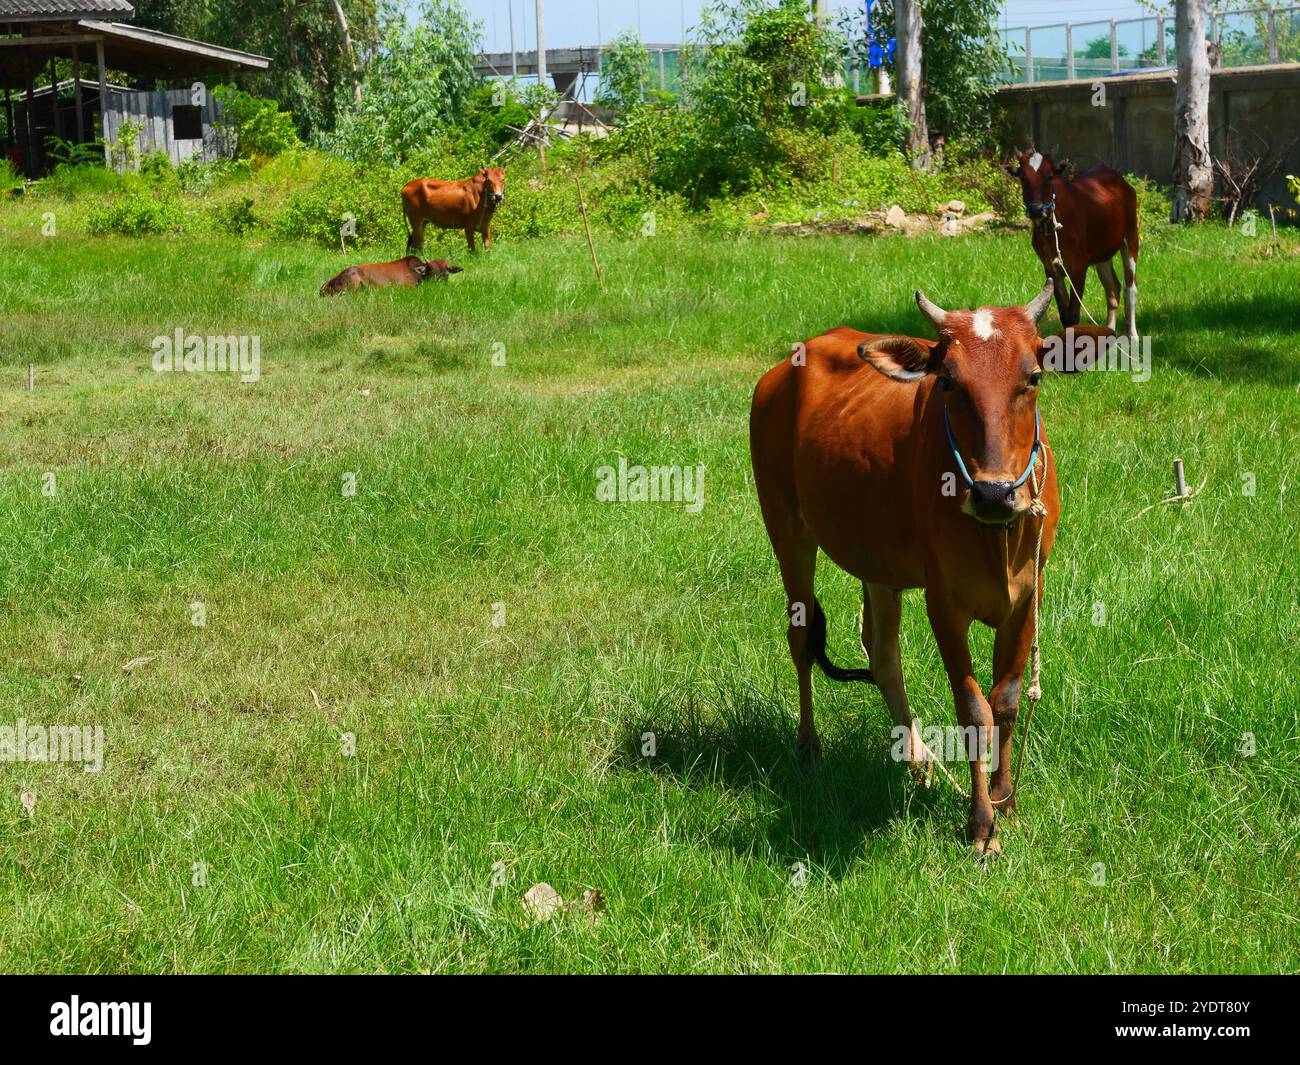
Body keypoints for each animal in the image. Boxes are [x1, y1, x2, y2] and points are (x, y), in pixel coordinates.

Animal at [750, 283, 1065, 855]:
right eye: (948, 381)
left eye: (1033, 376)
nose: (994, 493)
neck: (996, 535)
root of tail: (783, 369)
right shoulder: (945, 601)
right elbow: (974, 710)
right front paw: (981, 825)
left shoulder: (1028, 594)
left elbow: (1006, 700)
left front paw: (1005, 799)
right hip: (787, 528)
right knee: (802, 638)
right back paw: (809, 746)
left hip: (878, 563)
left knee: (882, 653)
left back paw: (917, 762)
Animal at [1004, 149, 1140, 340]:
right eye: (1023, 178)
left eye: (1050, 176)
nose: (1037, 209)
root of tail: (1122, 181)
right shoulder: (1051, 268)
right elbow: (1064, 314)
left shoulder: (1079, 267)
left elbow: (1074, 313)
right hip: (1103, 255)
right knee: (1113, 289)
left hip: (1131, 238)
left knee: (1130, 289)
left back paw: (1132, 336)